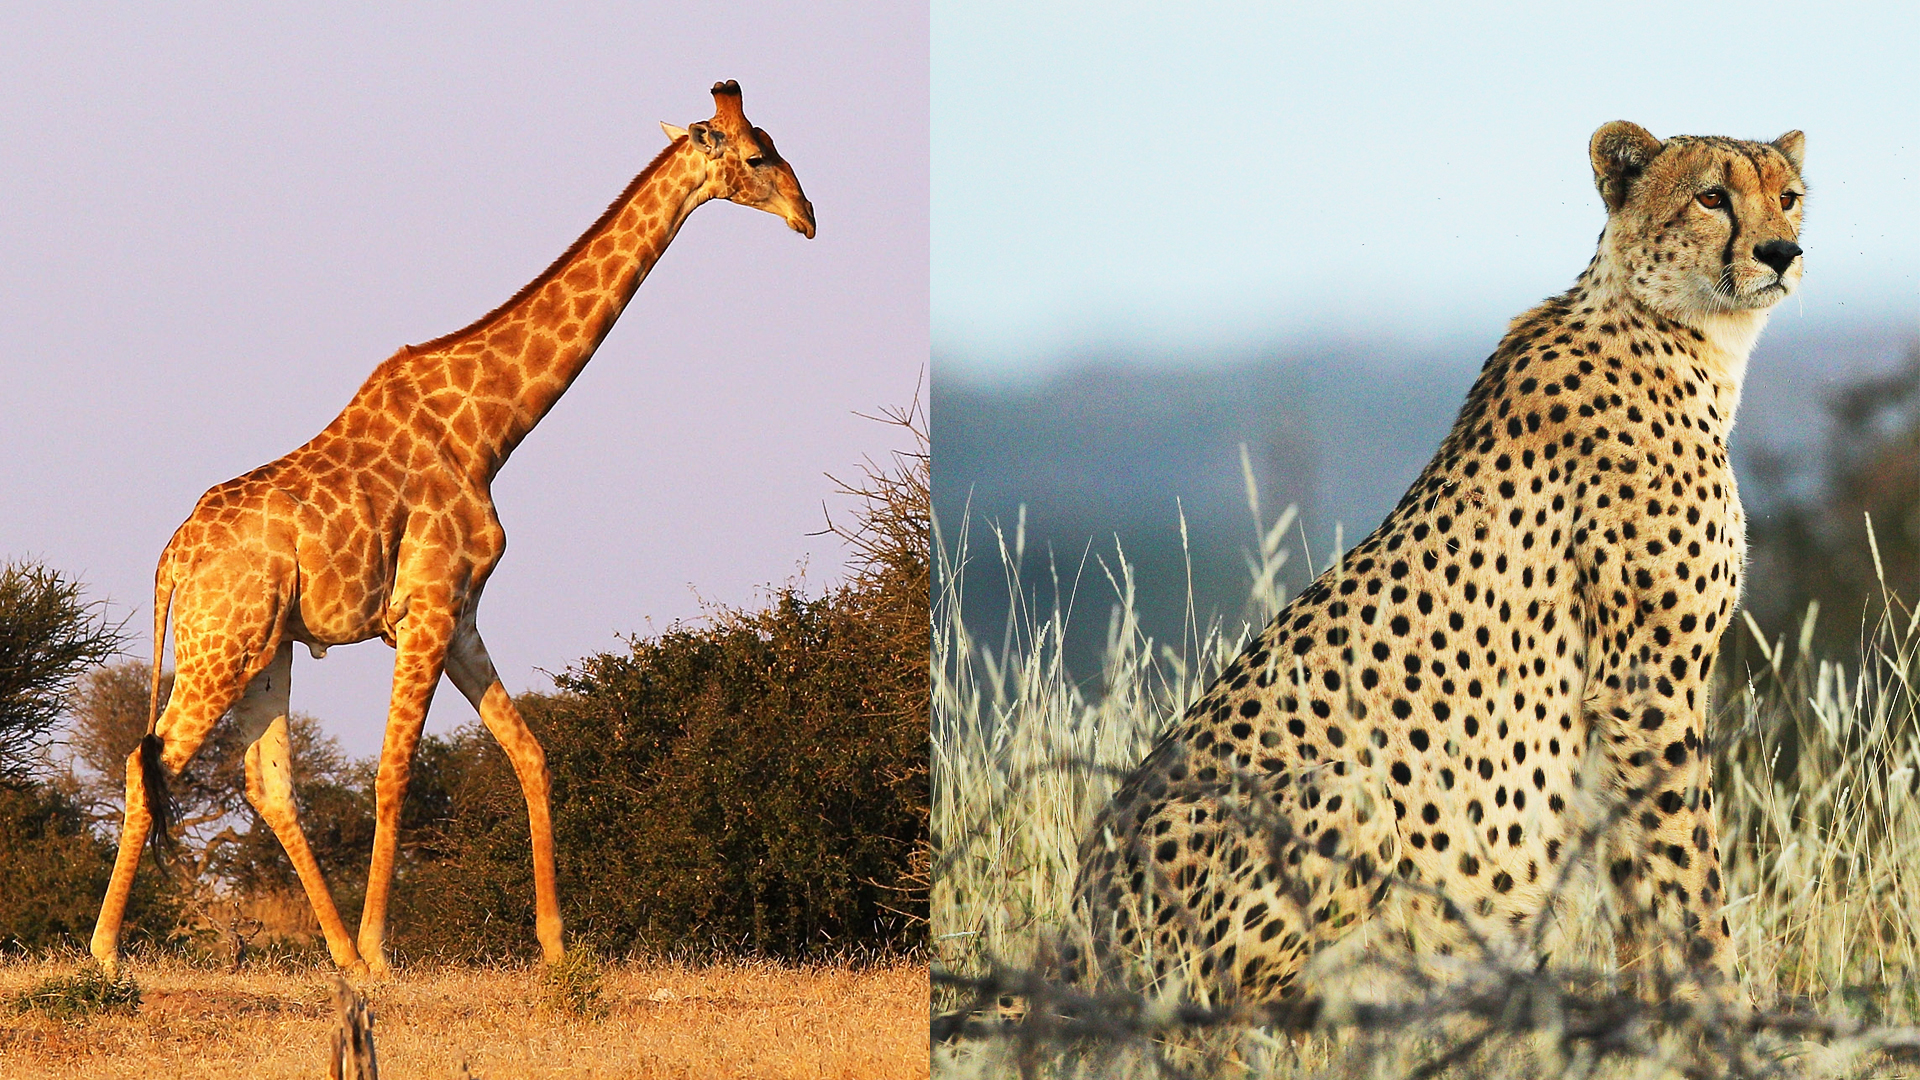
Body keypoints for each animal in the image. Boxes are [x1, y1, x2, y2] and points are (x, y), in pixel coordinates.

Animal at [89, 80, 815, 978]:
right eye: (757, 155)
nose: (808, 214)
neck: (489, 431)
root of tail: (169, 563)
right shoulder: (426, 608)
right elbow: (394, 771)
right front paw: (384, 950)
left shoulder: (463, 614)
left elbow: (531, 754)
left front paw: (555, 947)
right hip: (218, 647)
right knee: (148, 760)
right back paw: (109, 953)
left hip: (266, 648)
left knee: (267, 785)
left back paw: (337, 954)